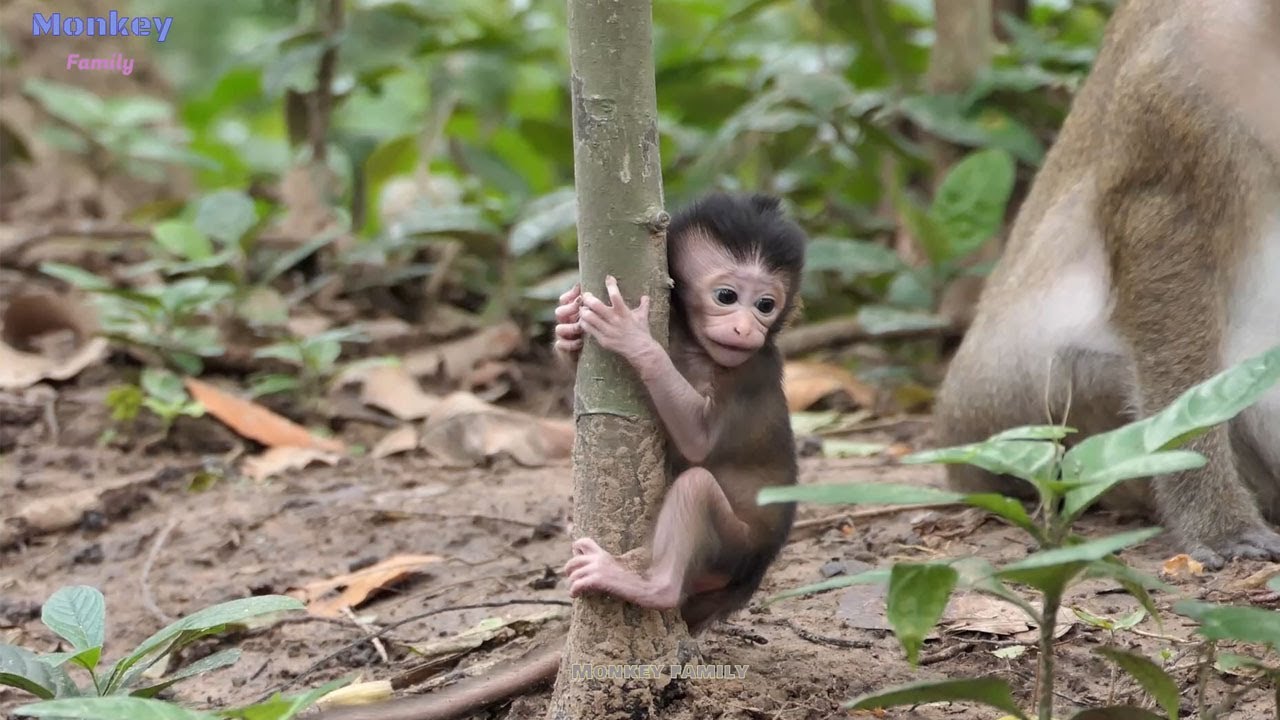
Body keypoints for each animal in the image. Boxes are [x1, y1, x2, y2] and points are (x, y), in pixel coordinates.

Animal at [312, 192, 806, 720]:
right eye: (727, 296)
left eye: (766, 304)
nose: (746, 327)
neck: (700, 348)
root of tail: (746, 583)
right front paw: (567, 327)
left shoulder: (749, 371)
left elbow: (698, 442)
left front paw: (636, 341)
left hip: (735, 549)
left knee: (694, 490)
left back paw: (648, 586)